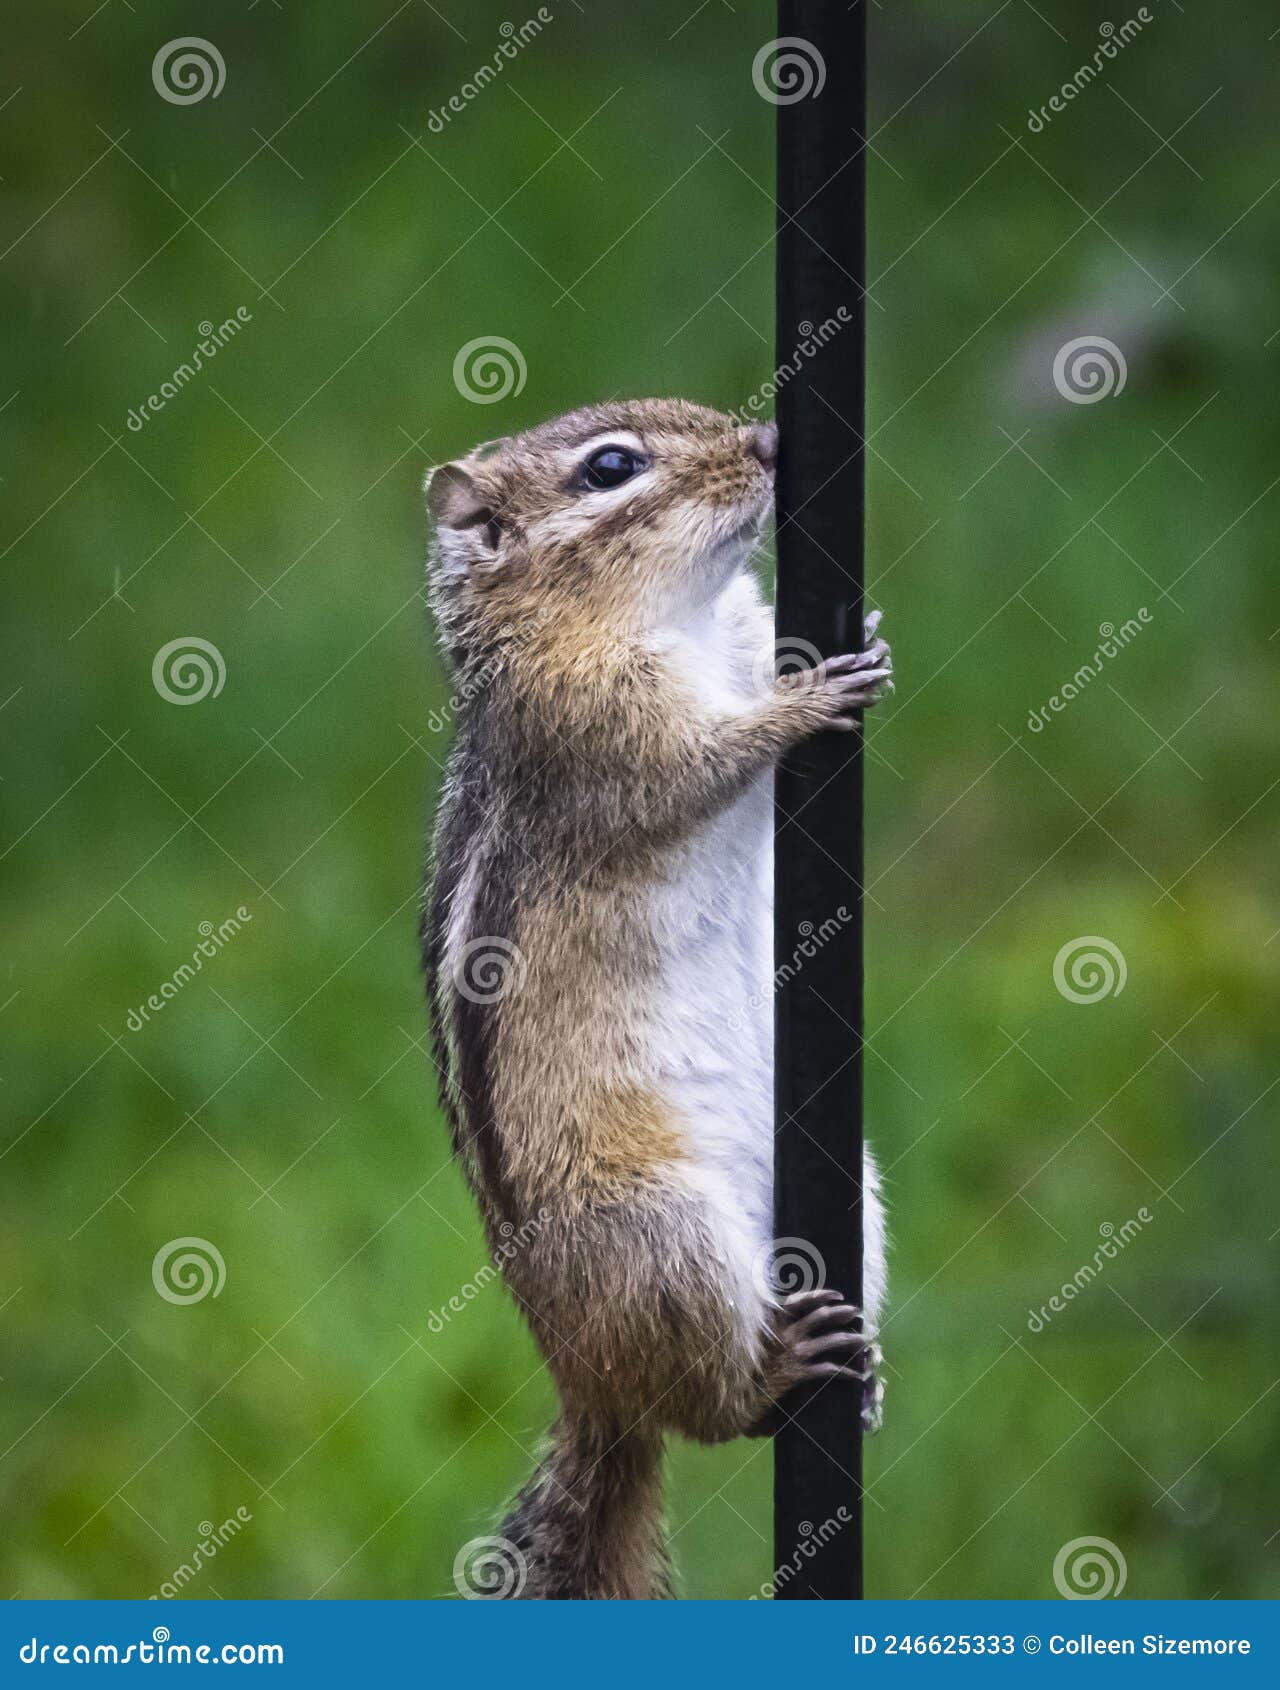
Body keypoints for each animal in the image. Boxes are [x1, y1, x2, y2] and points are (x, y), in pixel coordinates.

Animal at [421, 399, 890, 1600]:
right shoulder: (599, 724)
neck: (677, 617)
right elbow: (699, 760)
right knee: (713, 1412)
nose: (769, 442)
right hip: (657, 1241)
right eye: (610, 468)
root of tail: (590, 1385)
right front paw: (804, 701)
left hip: (855, 1204)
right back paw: (776, 1368)